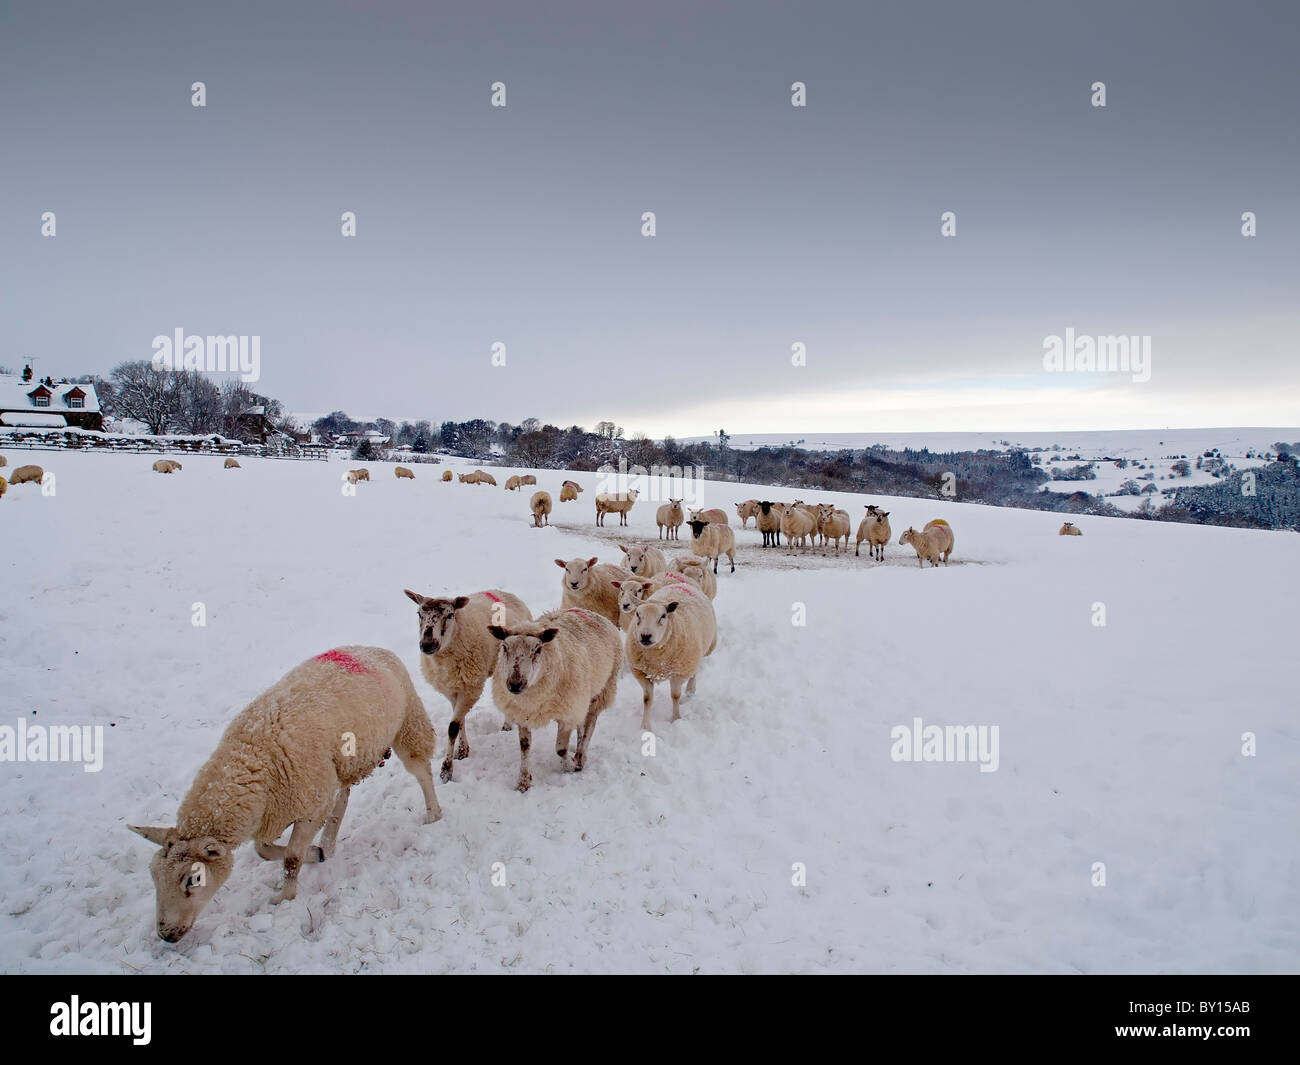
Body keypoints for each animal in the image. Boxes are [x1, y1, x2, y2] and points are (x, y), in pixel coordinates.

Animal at [128, 646, 440, 940]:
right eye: (153, 875)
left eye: (193, 880)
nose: (166, 936)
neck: (253, 757)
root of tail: (370, 649)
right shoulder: (276, 811)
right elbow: (264, 850)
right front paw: (315, 854)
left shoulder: (310, 805)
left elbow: (291, 858)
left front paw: (285, 897)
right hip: (341, 764)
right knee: (342, 797)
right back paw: (327, 844)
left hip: (407, 723)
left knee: (422, 772)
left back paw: (433, 814)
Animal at [403, 588, 532, 782]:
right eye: (419, 614)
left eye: (450, 615)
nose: (427, 644)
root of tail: (501, 591)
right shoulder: (452, 689)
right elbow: (459, 722)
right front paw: (463, 750)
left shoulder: (471, 688)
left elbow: (452, 727)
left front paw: (446, 770)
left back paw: (508, 724)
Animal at [488, 608, 622, 791]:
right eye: (504, 647)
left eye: (538, 649)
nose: (515, 684)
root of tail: (593, 613)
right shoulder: (522, 713)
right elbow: (524, 746)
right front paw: (523, 781)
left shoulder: (567, 713)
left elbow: (560, 749)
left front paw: (570, 766)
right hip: (583, 697)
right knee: (582, 726)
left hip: (602, 690)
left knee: (589, 726)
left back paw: (581, 757)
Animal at [625, 581, 717, 732]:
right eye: (637, 614)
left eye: (663, 616)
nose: (645, 636)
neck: (656, 661)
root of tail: (682, 583)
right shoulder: (641, 673)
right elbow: (647, 699)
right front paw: (645, 726)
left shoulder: (679, 673)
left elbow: (675, 696)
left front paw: (676, 719)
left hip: (698, 653)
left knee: (695, 671)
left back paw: (690, 690)